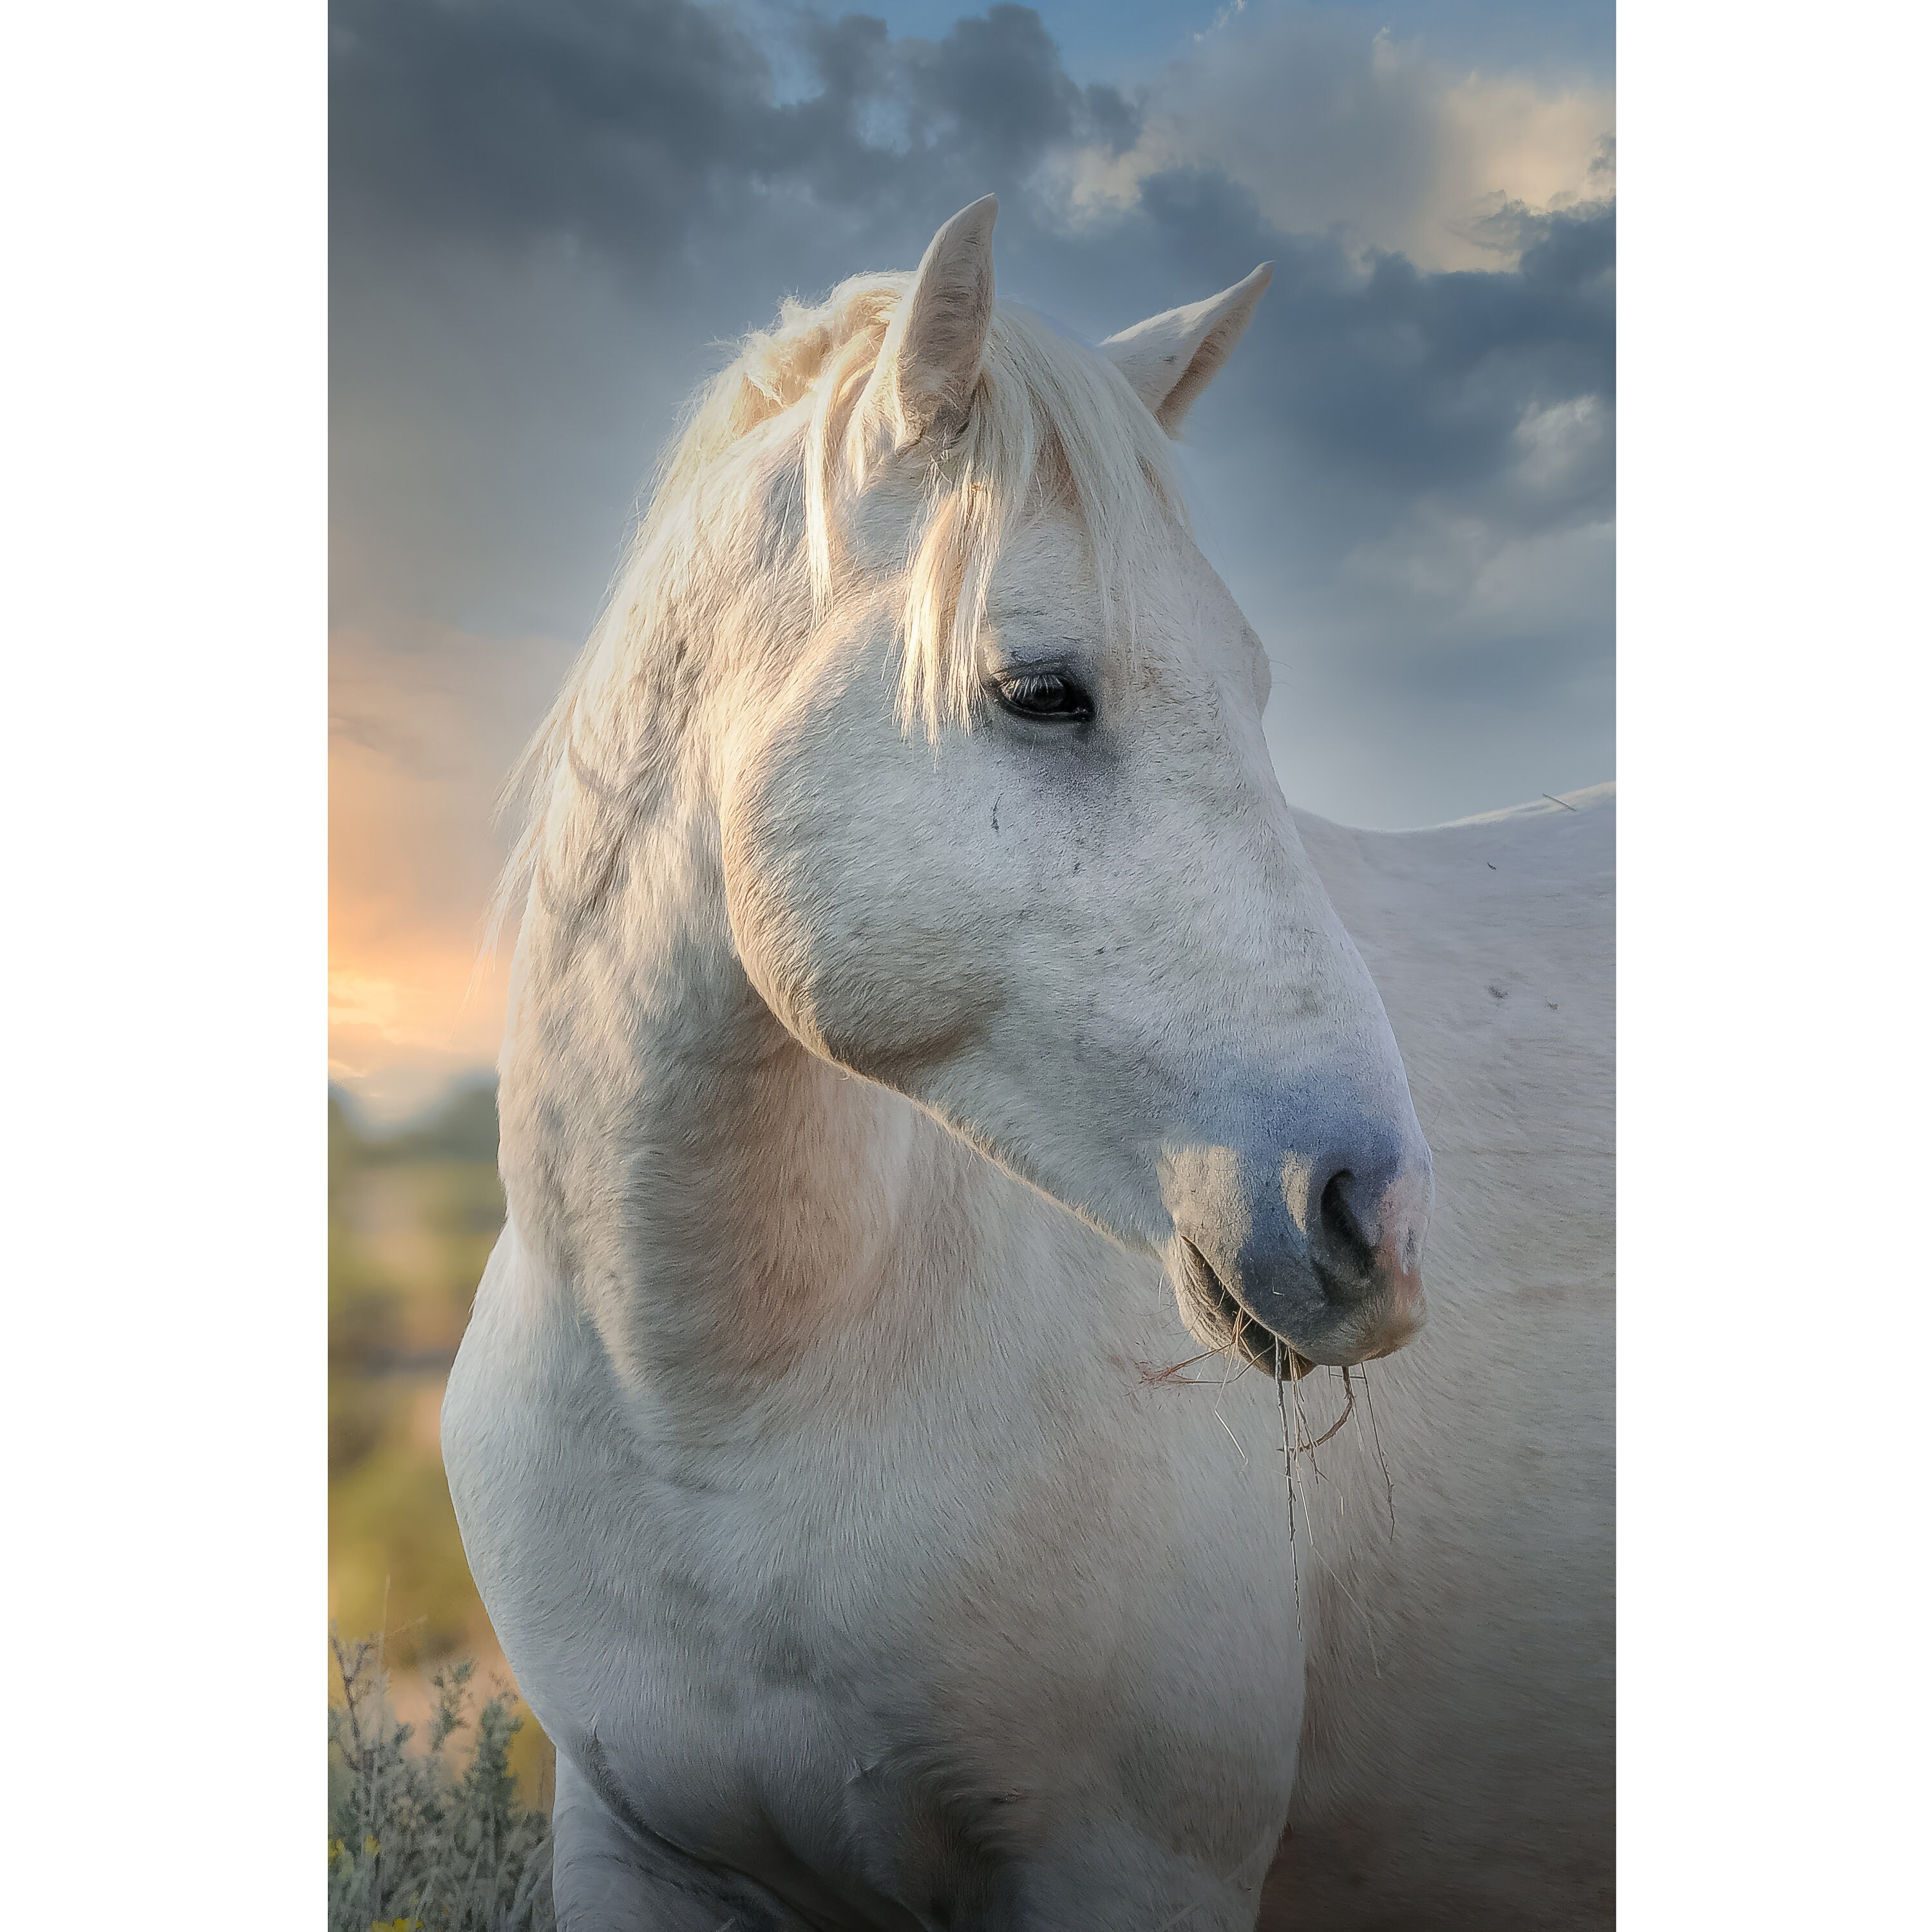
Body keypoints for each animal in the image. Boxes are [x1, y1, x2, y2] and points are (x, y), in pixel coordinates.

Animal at [443, 196, 1613, 1930]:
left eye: (1259, 691)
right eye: (1040, 691)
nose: (1374, 1218)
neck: (709, 1405)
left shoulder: (1128, 1865)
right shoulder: (635, 1848)